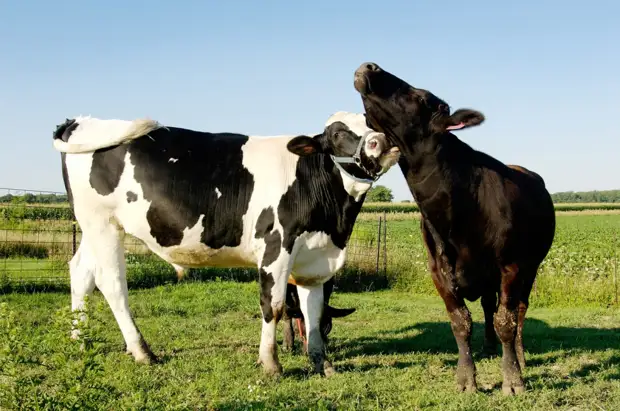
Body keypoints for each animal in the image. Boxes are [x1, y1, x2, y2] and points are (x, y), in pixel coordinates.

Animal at [354, 63, 556, 396]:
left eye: (422, 97)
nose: (370, 66)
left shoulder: (512, 266)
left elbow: (506, 321)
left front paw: (513, 379)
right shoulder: (438, 270)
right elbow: (461, 322)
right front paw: (466, 379)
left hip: (532, 266)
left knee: (519, 310)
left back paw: (520, 355)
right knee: (488, 305)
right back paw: (489, 347)